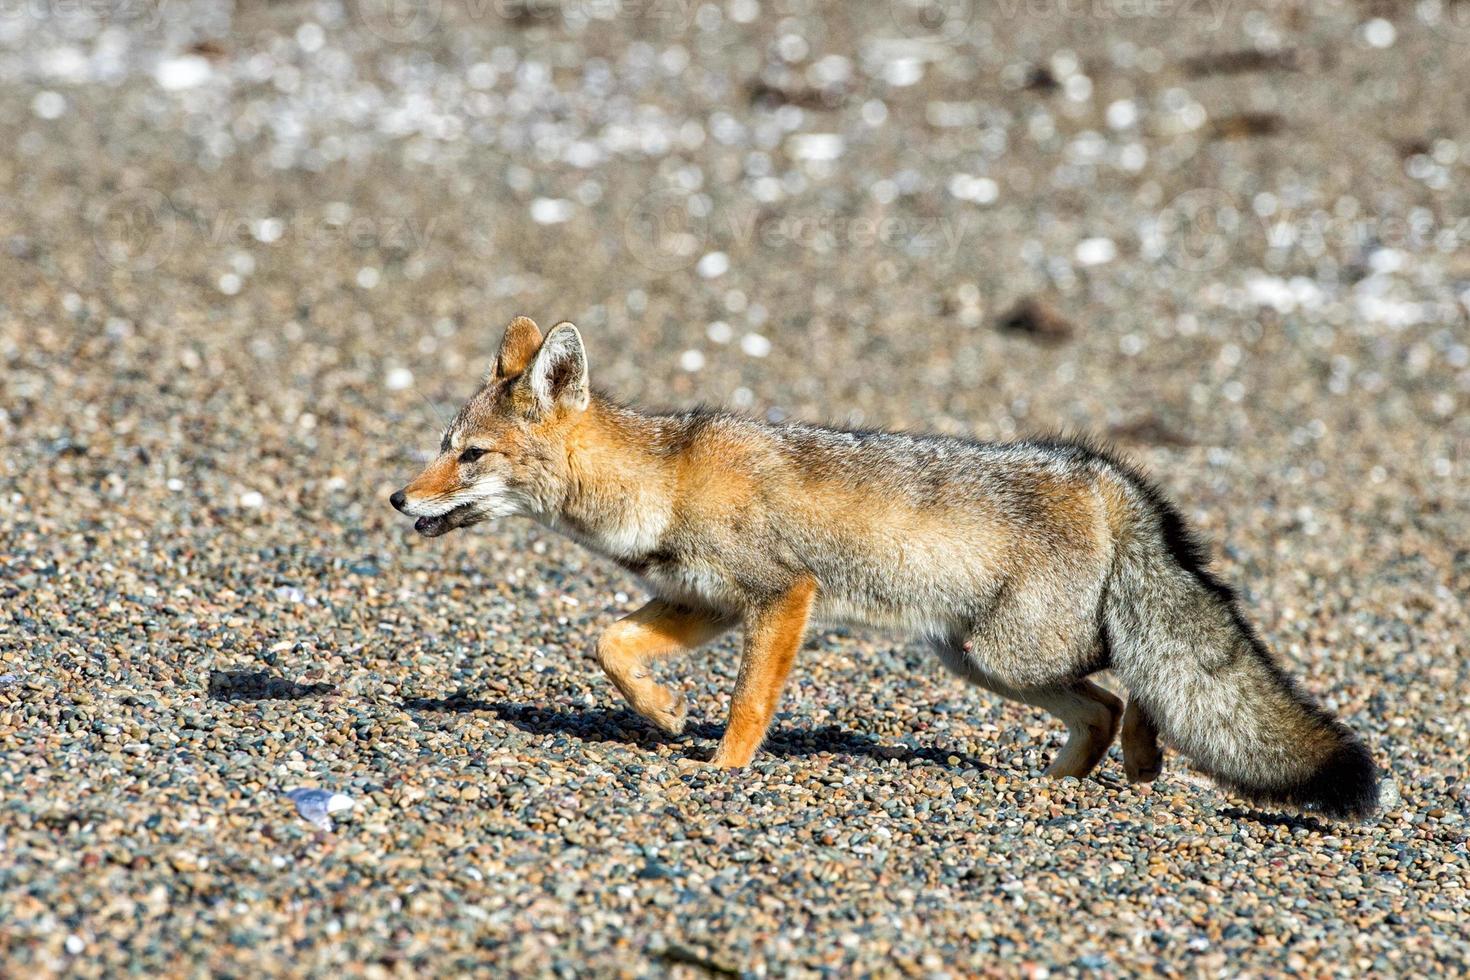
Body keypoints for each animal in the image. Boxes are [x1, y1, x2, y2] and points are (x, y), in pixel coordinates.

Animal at [390, 316, 1379, 819]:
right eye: (442, 448)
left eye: (469, 457)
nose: (400, 500)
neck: (663, 479)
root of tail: (1103, 475)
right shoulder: (702, 600)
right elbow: (611, 645)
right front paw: (665, 713)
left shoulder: (782, 596)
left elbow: (749, 702)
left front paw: (724, 770)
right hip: (978, 659)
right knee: (1105, 703)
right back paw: (1070, 783)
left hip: (1012, 654)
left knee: (1138, 679)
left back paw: (1137, 760)